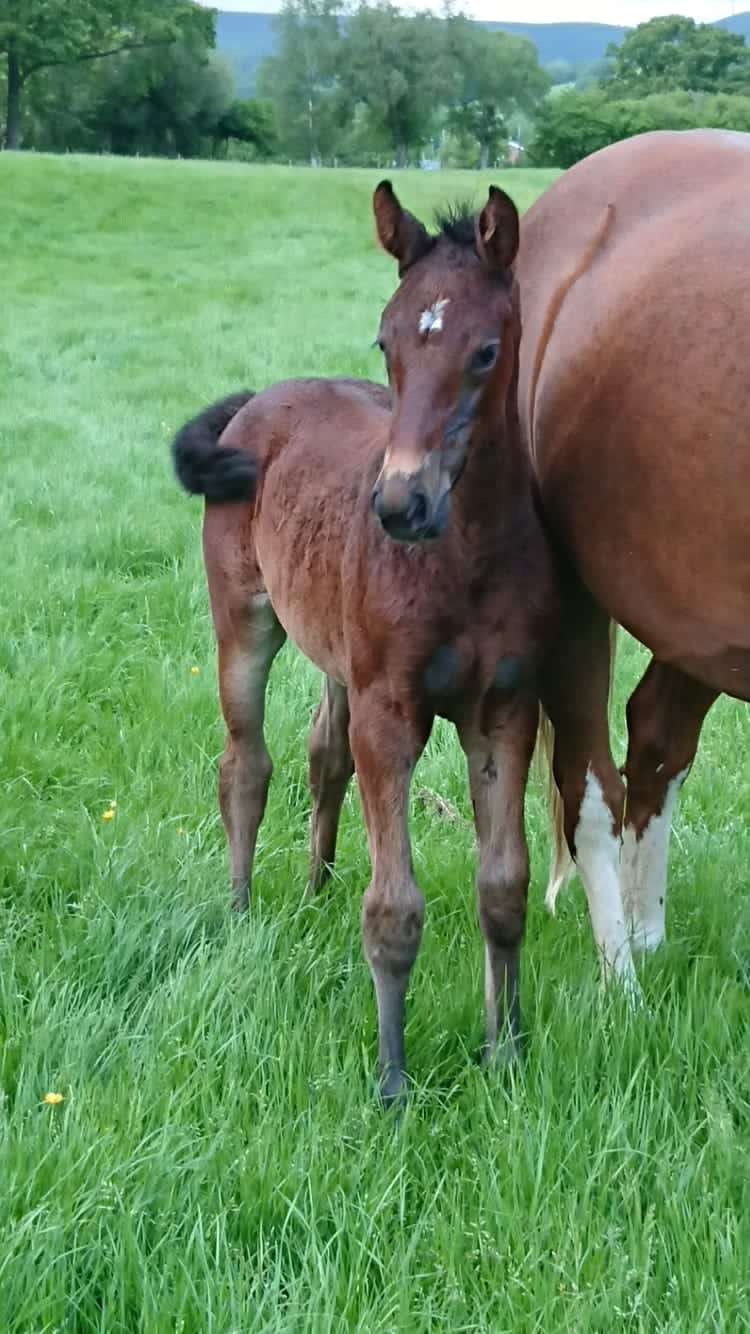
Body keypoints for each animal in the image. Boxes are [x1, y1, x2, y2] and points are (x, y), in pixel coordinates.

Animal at [172, 184, 561, 1104]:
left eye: (486, 350)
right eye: (387, 339)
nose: (398, 506)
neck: (467, 553)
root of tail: (257, 401)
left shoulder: (506, 710)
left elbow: (505, 886)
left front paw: (506, 1053)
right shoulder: (393, 712)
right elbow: (395, 907)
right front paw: (391, 1081)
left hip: (339, 655)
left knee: (324, 755)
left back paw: (315, 892)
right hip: (244, 621)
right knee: (246, 764)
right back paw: (241, 912)